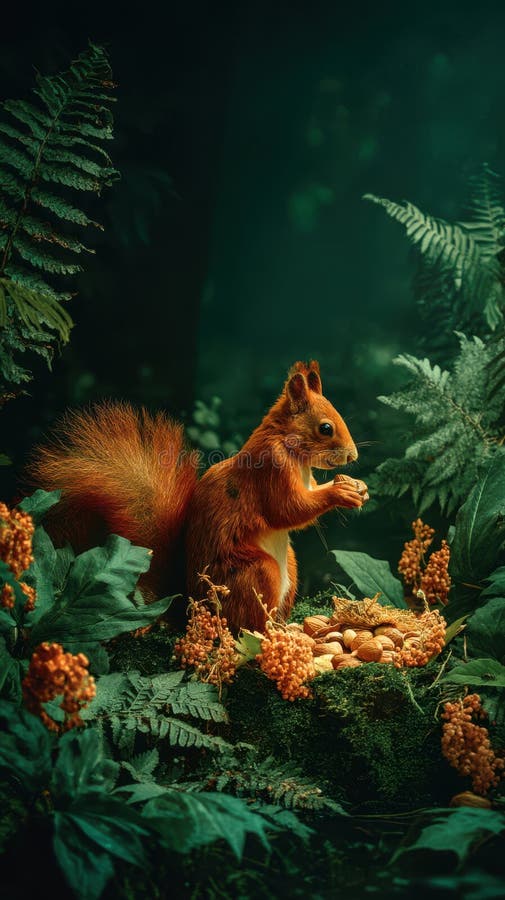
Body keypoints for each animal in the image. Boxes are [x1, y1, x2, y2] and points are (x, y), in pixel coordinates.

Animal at [28, 360, 369, 632]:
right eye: (325, 428)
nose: (352, 456)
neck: (288, 444)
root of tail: (191, 610)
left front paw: (357, 486)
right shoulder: (271, 470)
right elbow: (288, 510)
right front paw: (340, 492)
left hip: (291, 568)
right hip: (255, 573)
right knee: (245, 626)